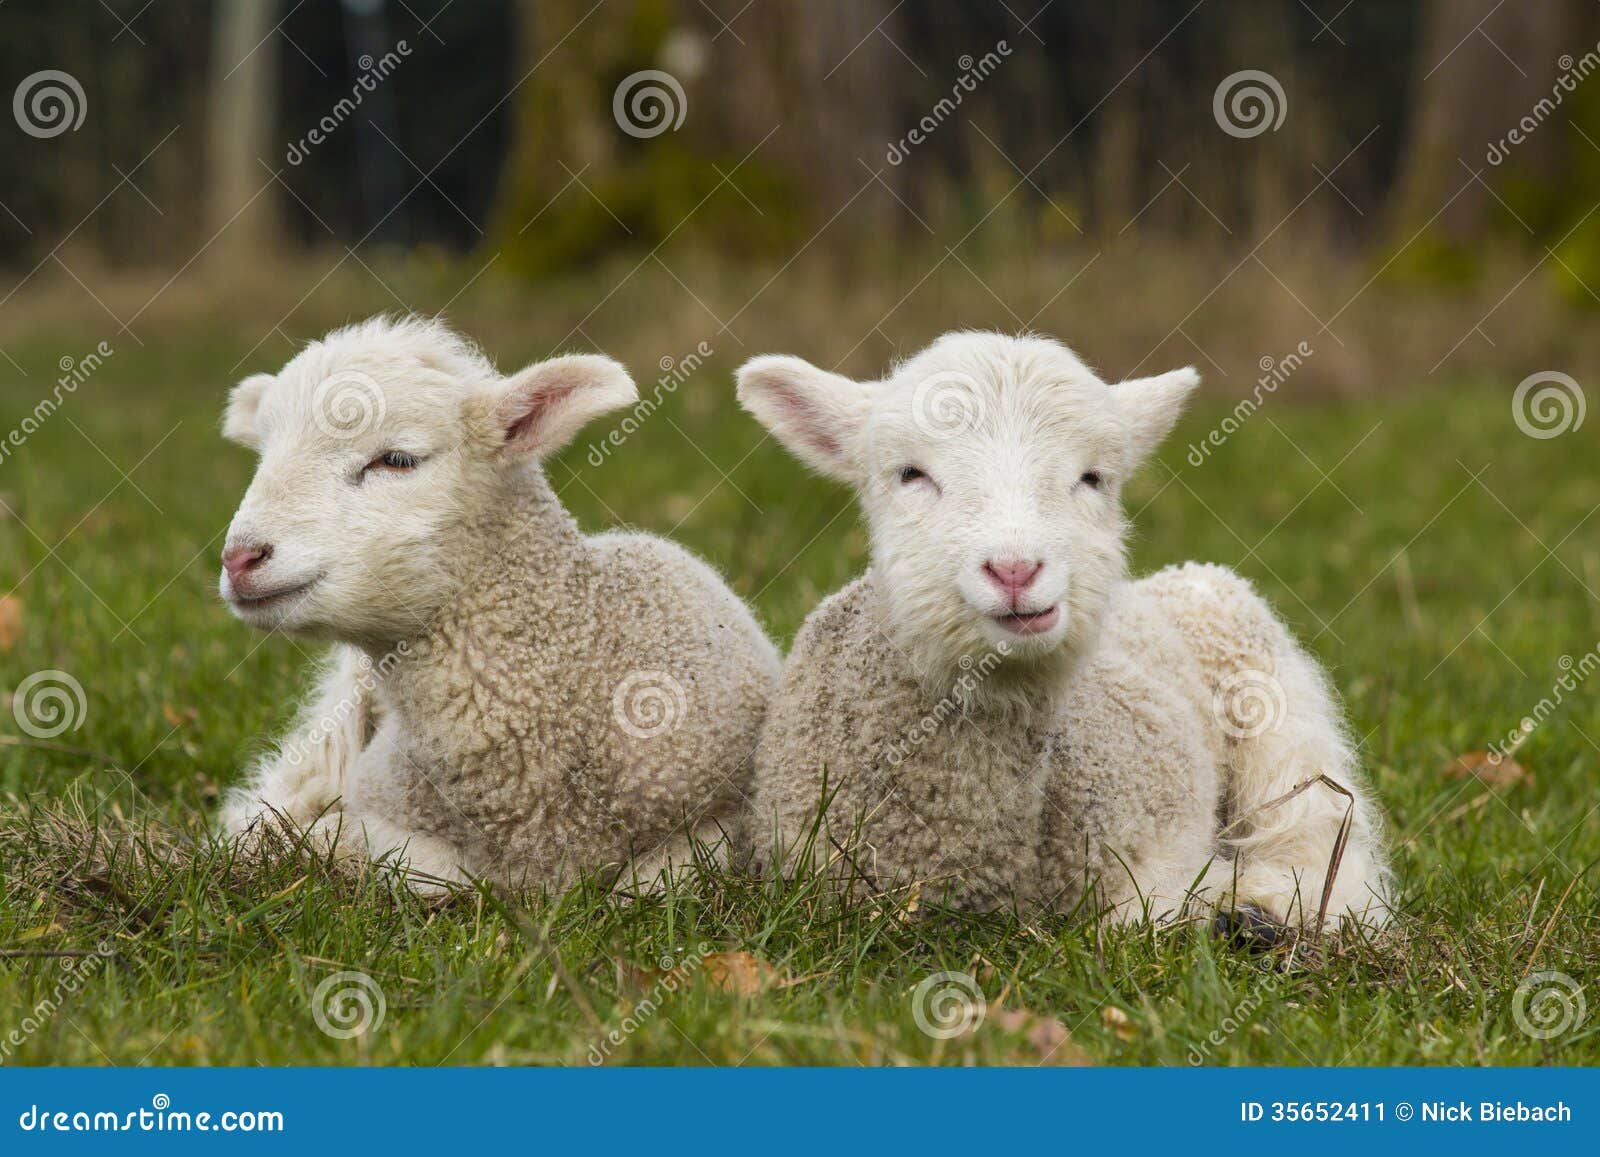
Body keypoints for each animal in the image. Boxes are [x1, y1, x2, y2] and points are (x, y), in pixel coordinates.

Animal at [216, 315, 780, 892]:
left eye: (397, 460)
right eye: (264, 455)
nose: (239, 558)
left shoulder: (723, 817)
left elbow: (654, 883)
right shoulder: (376, 808)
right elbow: (436, 869)